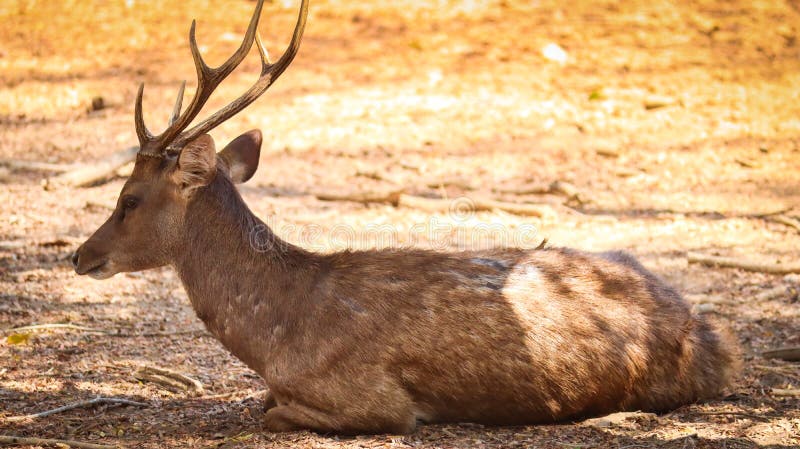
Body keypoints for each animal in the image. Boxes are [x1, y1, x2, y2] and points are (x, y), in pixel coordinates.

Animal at [71, 0, 738, 435]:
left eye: (129, 198)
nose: (79, 255)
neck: (276, 337)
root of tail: (712, 335)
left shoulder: (375, 402)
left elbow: (269, 414)